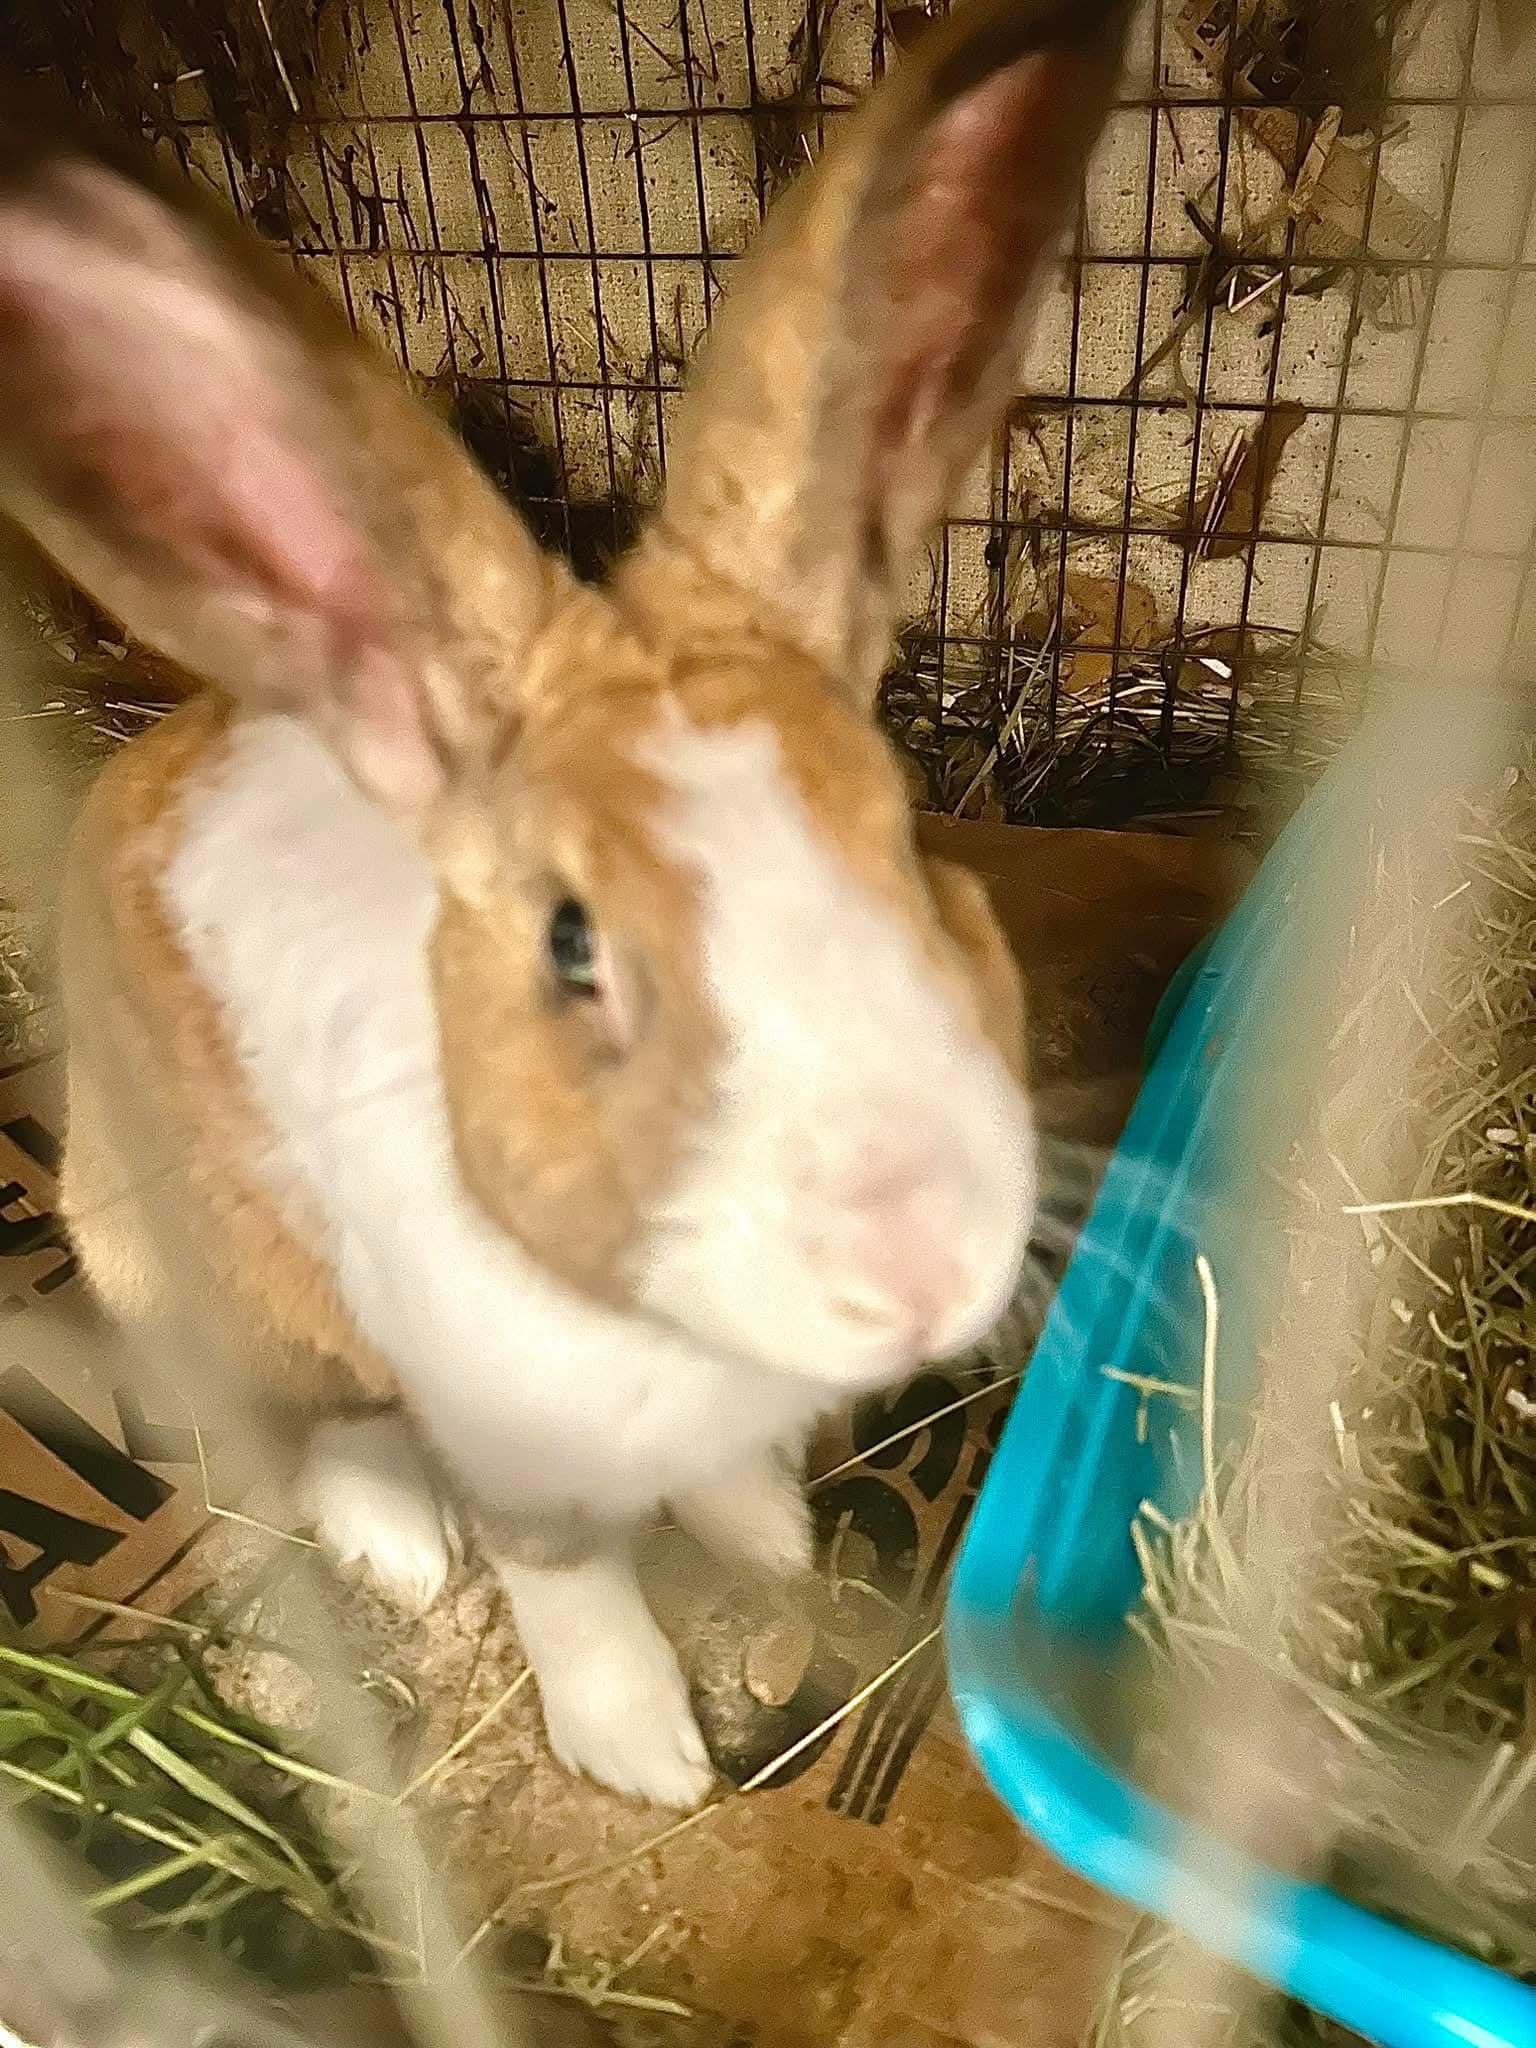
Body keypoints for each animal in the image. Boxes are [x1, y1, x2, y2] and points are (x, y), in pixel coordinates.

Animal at [0, 0, 1129, 1810]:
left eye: (902, 838)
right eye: (570, 946)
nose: (918, 1262)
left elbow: (726, 1487)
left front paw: (773, 1543)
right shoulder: (512, 1447)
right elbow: (570, 1582)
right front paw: (647, 1758)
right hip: (191, 1264)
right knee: (314, 1425)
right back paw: (396, 1549)